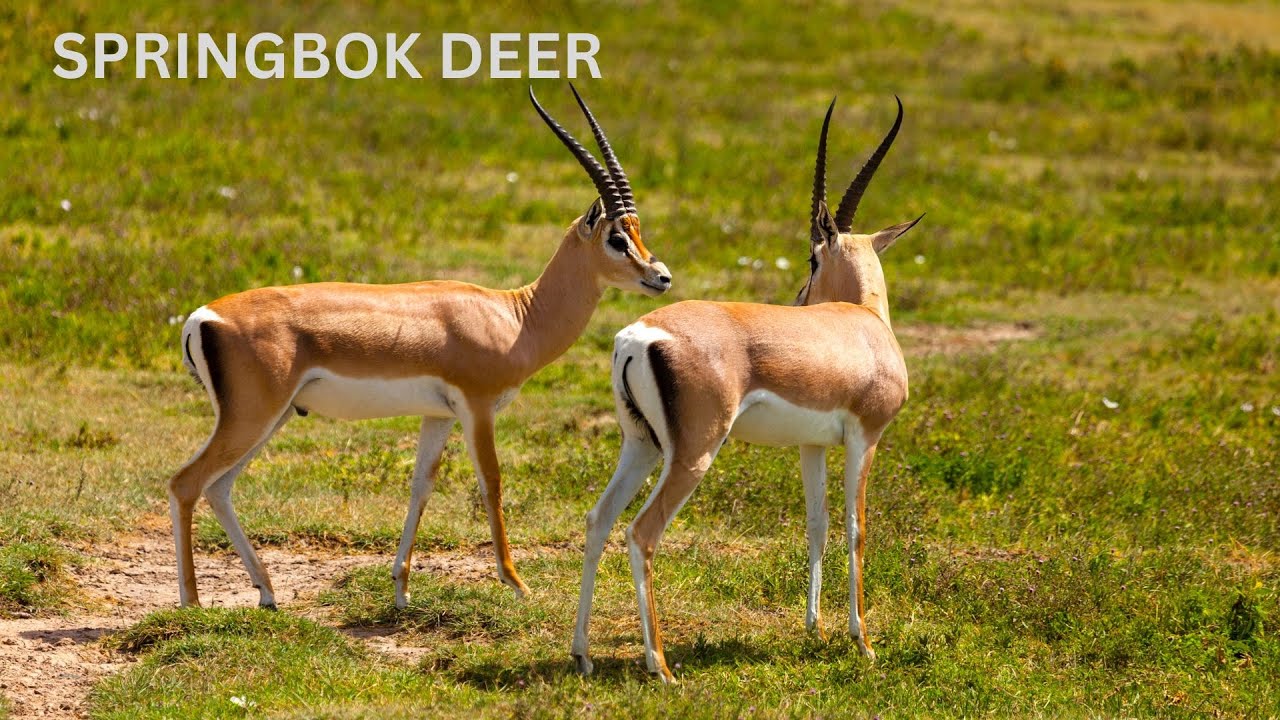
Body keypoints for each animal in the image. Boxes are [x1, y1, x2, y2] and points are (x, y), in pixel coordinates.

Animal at [167, 85, 672, 611]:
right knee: (186, 482)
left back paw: (266, 592)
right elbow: (491, 481)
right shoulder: (477, 407)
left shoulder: (439, 414)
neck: (515, 317)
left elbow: (420, 487)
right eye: (617, 238)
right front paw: (516, 582)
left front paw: (401, 589)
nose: (661, 277)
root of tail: (202, 316)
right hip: (253, 417)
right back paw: (192, 602)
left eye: (639, 233)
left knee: (219, 487)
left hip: (272, 416)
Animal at [571, 97, 922, 682]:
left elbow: (818, 524)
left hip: (640, 445)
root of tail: (638, 335)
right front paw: (863, 642)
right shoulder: (865, 438)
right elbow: (857, 528)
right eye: (812, 257)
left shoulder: (811, 445)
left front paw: (814, 629)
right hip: (693, 454)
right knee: (641, 533)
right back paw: (661, 667)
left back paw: (581, 655)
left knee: (599, 519)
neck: (865, 325)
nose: (800, 299)